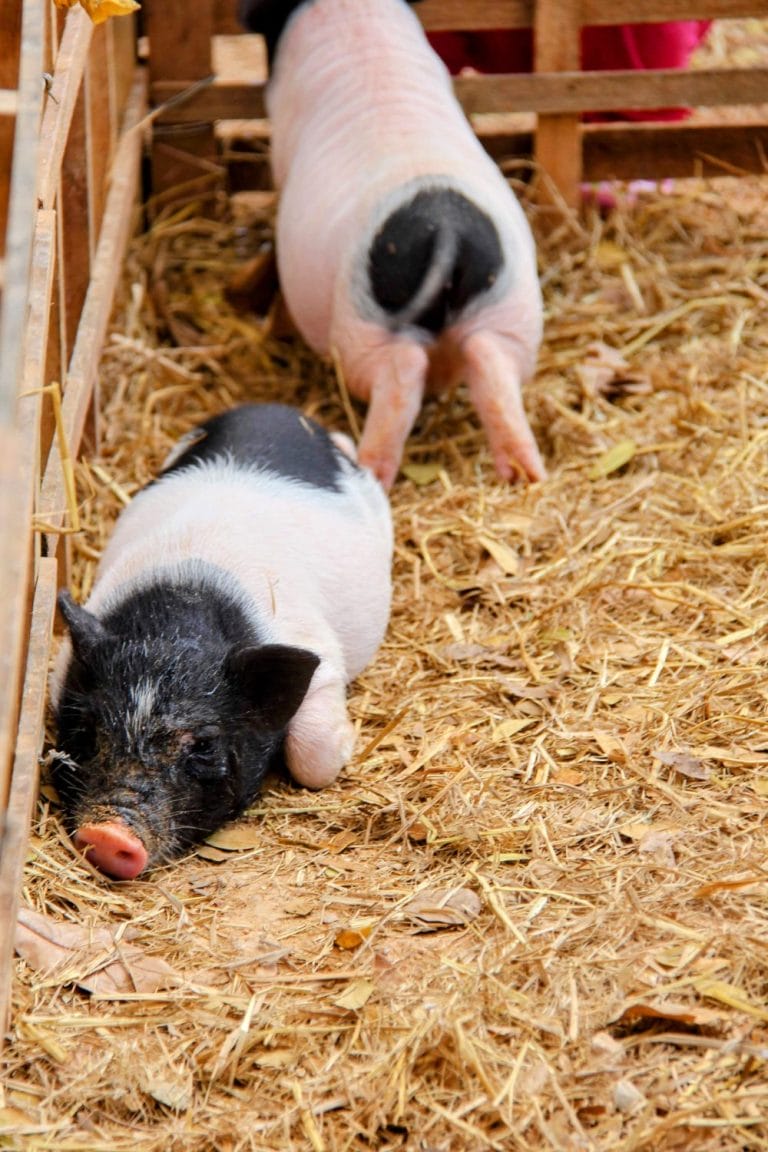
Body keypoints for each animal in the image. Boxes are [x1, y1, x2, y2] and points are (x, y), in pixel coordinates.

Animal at [49, 403, 392, 879]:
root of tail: (275, 410)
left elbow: (314, 758)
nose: (107, 835)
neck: (174, 625)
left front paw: (346, 746)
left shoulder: (320, 658)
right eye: (88, 727)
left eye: (205, 744)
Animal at [239, 0, 546, 490]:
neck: (355, 18)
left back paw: (373, 472)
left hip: (361, 326)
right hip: (512, 308)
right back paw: (524, 474)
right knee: (491, 360)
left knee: (403, 371)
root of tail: (447, 228)